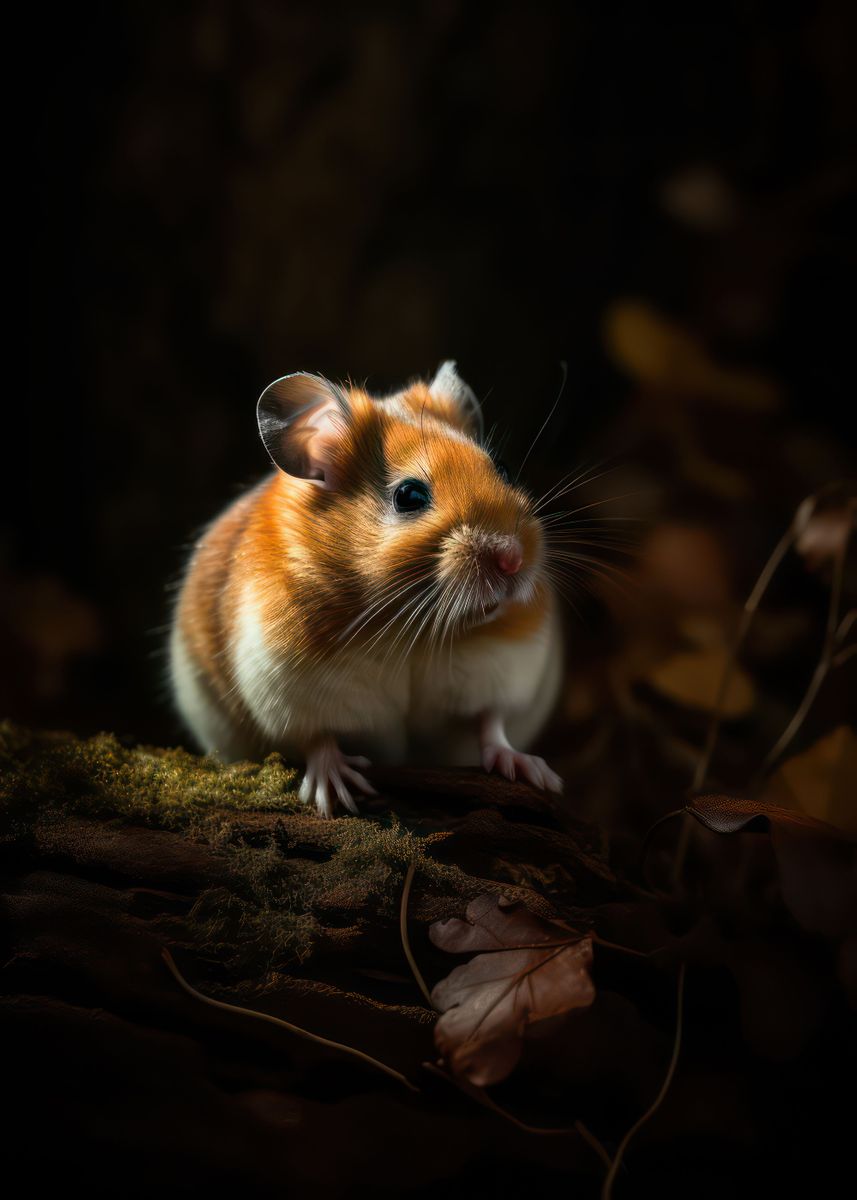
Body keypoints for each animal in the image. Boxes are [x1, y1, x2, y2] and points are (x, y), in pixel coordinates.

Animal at [169, 362, 563, 817]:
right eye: (409, 495)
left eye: (502, 468)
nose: (513, 559)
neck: (412, 630)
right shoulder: (284, 683)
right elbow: (317, 738)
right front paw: (334, 794)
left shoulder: (505, 666)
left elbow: (492, 722)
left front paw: (538, 774)